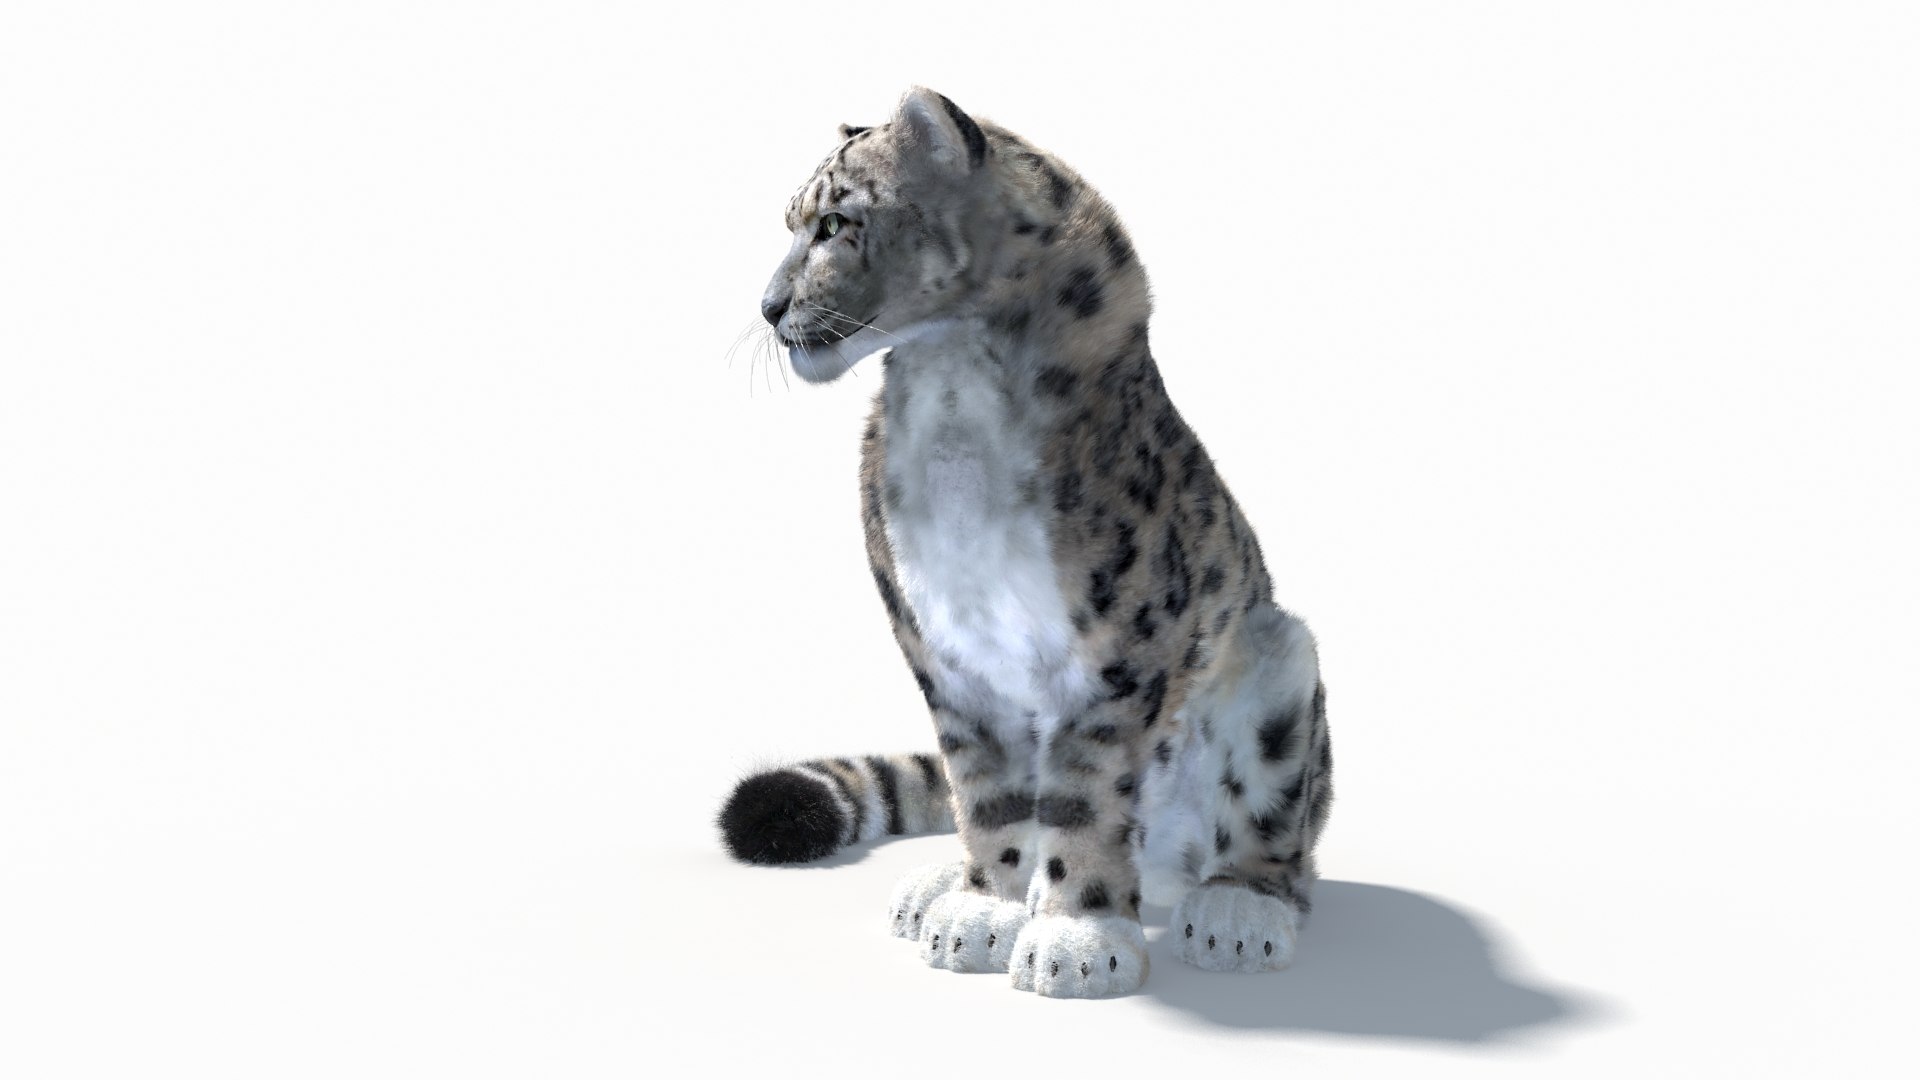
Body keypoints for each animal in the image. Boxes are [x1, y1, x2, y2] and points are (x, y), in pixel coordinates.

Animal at [718, 88, 1332, 999]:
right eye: (792, 223)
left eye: (833, 224)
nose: (767, 307)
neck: (949, 392)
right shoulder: (948, 652)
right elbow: (987, 789)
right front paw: (985, 908)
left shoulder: (1112, 652)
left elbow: (1084, 794)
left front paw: (1078, 938)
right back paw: (938, 887)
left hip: (1278, 656)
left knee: (1280, 838)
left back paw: (1235, 908)